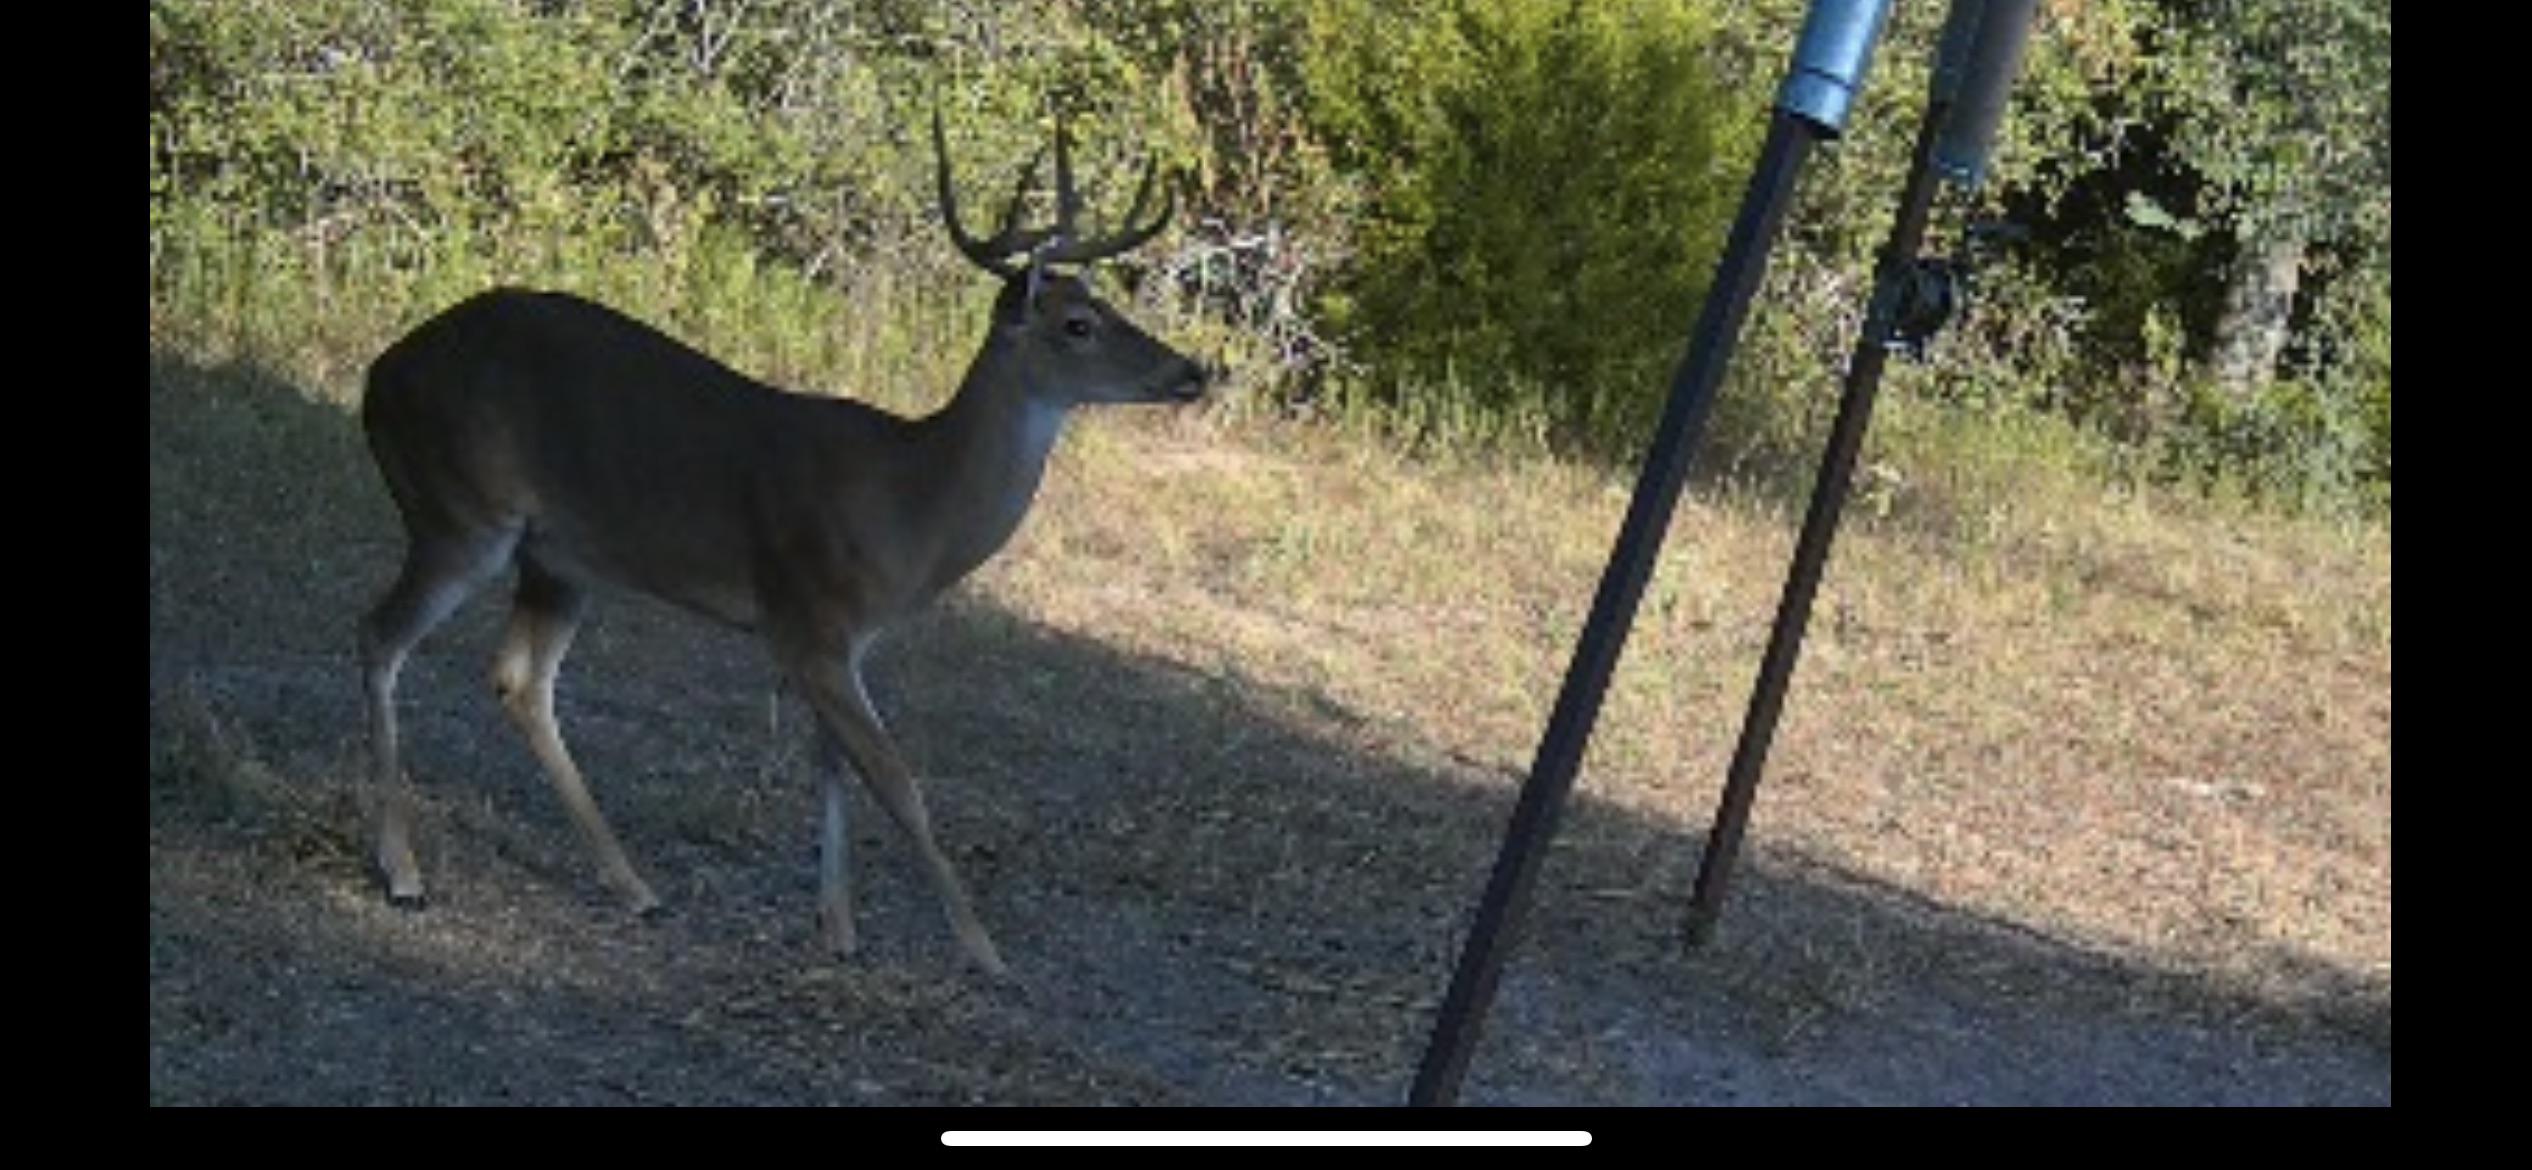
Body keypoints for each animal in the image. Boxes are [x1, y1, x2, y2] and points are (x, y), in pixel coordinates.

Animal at [355, 109, 1210, 979]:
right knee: (379, 633)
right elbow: (896, 780)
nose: (1194, 370)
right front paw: (983, 951)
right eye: (1077, 325)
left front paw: (839, 929)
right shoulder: (807, 618)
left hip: (558, 558)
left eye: (1103, 302)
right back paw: (403, 871)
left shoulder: (843, 642)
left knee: (518, 680)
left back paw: (635, 886)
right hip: (460, 512)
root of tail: (376, 377)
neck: (912, 508)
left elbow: (832, 767)